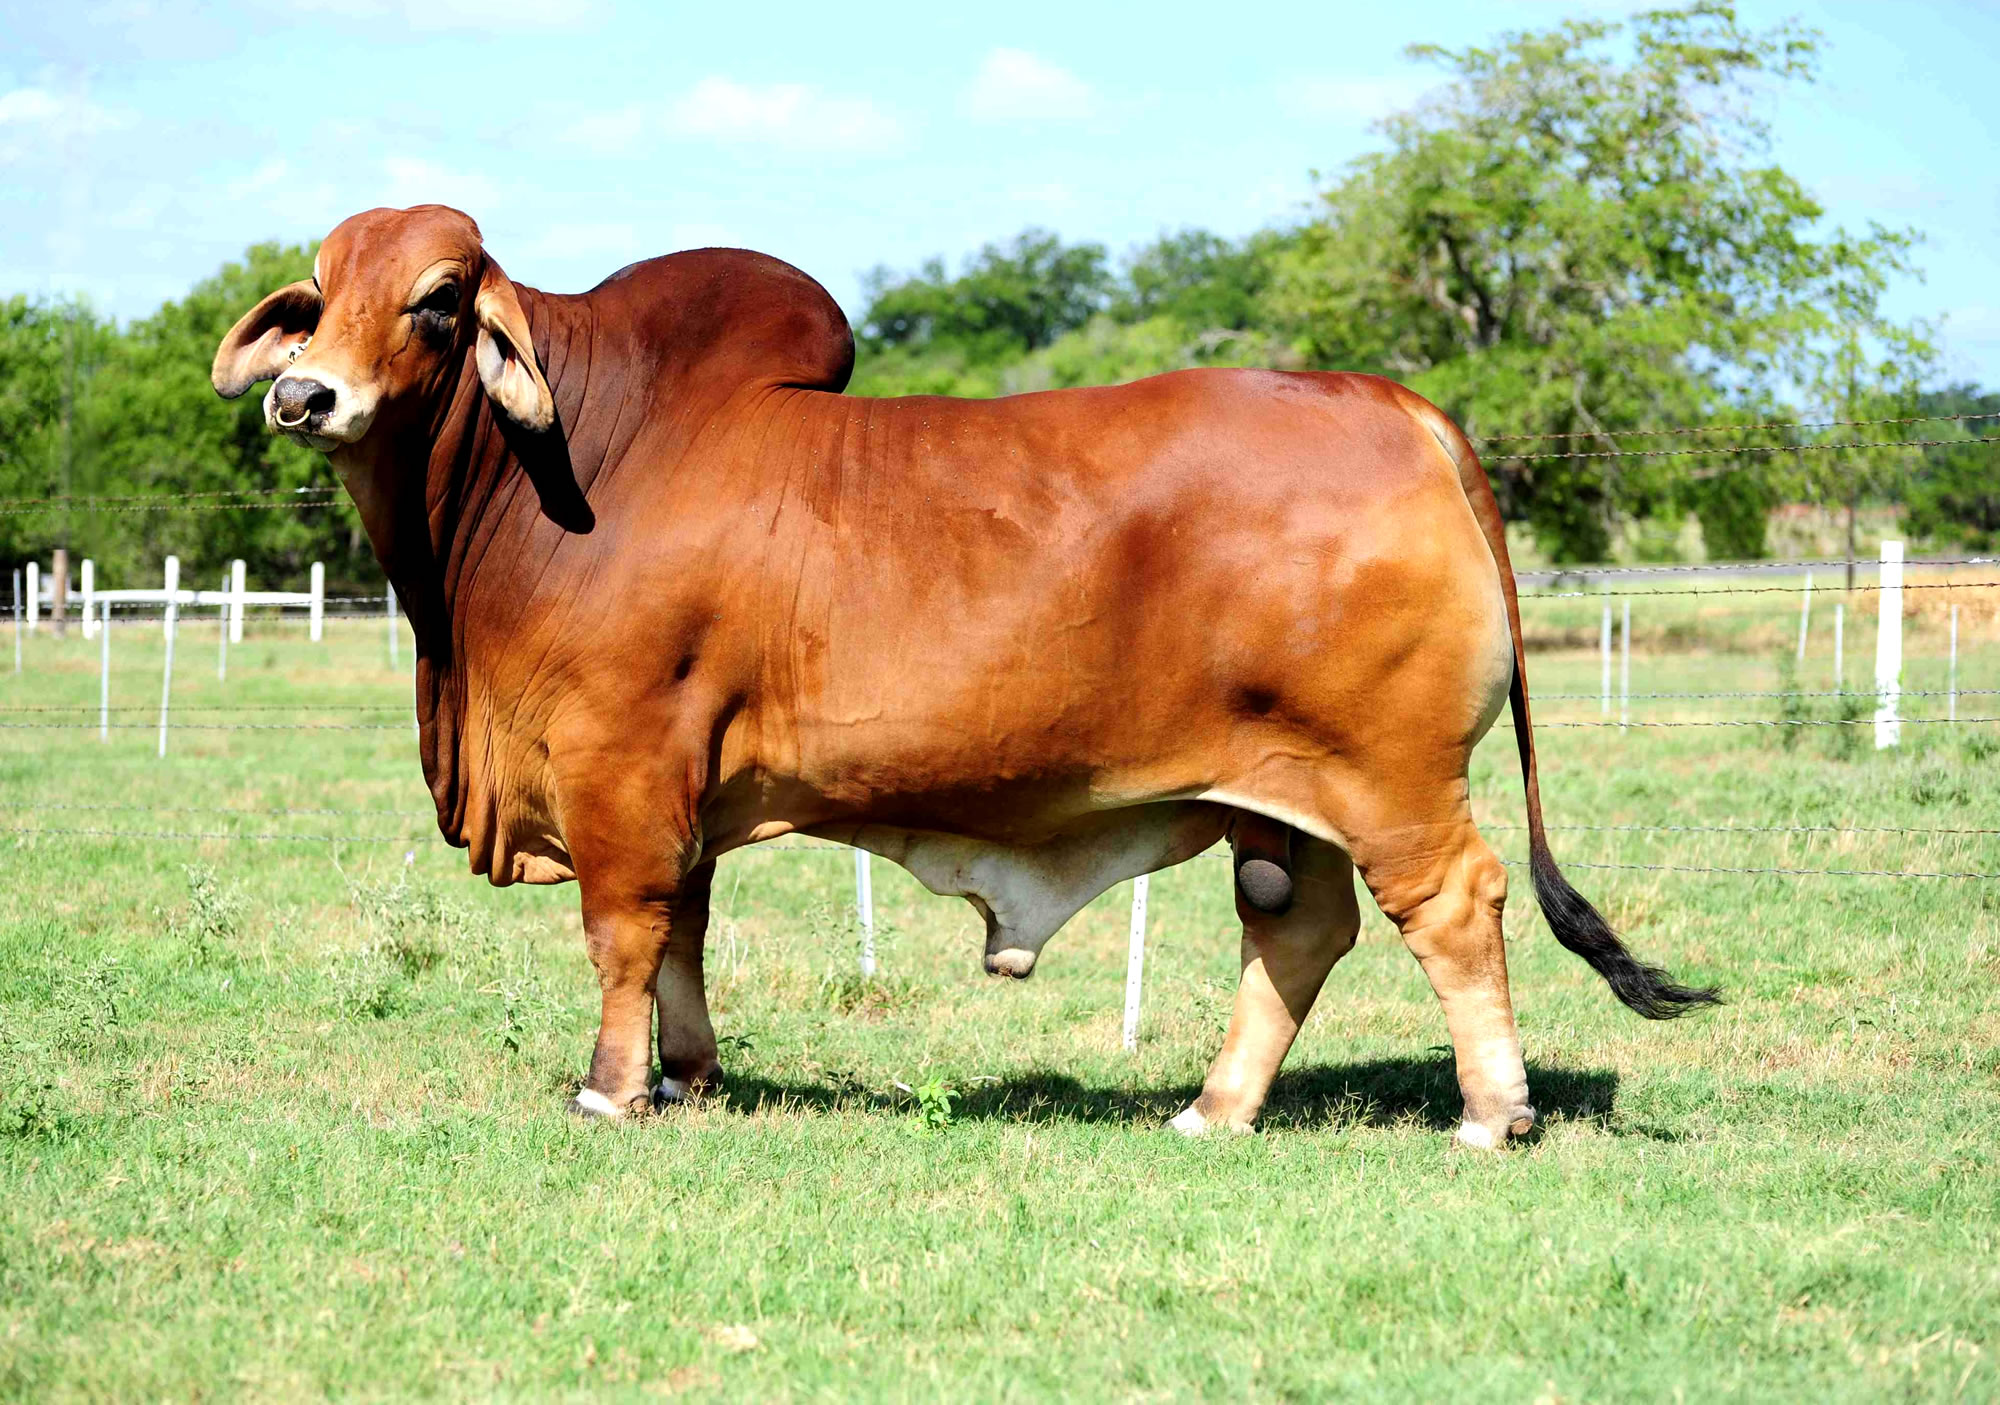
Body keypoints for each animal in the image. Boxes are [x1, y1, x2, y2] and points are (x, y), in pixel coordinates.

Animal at [212, 205, 1716, 1149]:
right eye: (318, 301)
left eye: (437, 302)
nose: (304, 397)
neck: (567, 467)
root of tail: (1395, 404)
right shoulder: (678, 779)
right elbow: (686, 928)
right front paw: (690, 1078)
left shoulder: (620, 763)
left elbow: (626, 930)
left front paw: (611, 1091)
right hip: (1281, 798)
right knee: (1298, 932)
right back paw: (1214, 1108)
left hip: (1392, 777)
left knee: (1456, 908)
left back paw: (1490, 1111)